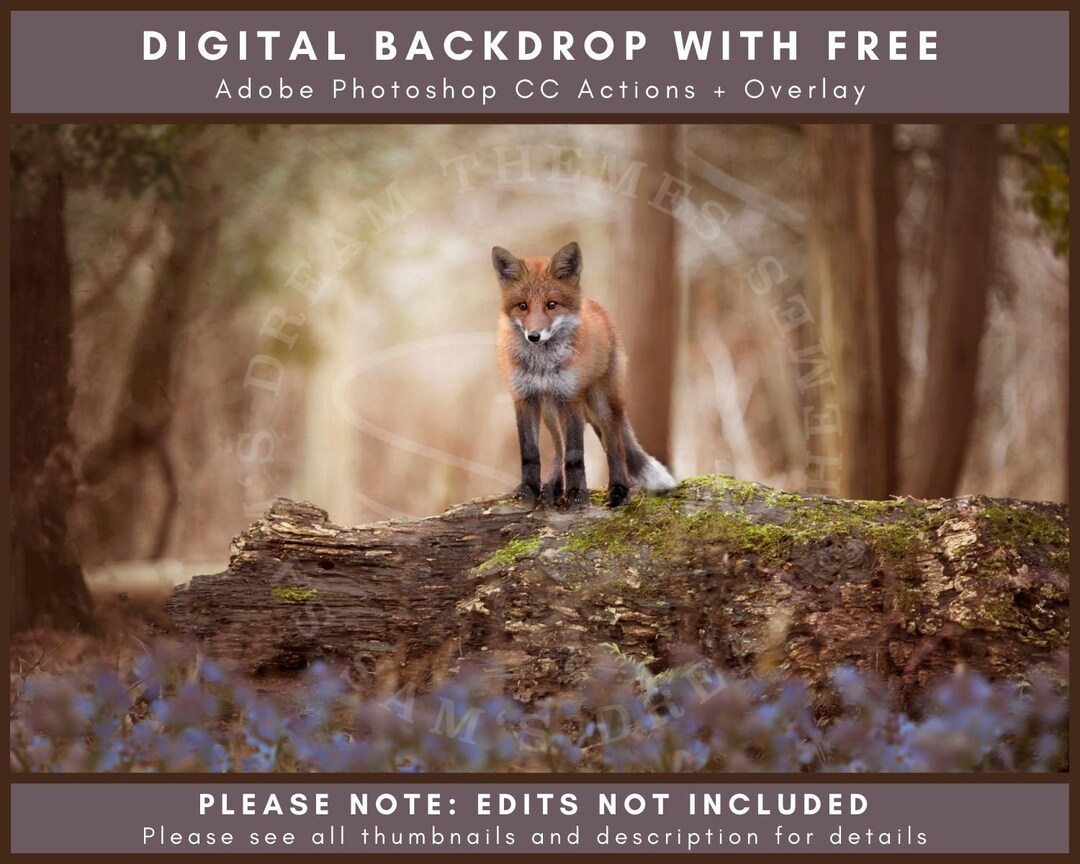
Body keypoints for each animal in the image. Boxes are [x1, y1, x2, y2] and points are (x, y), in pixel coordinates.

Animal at [492, 241, 677, 507]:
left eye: (551, 304)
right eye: (522, 306)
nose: (534, 336)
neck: (542, 364)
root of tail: (598, 308)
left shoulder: (570, 398)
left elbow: (575, 456)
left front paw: (577, 494)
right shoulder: (524, 398)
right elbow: (530, 453)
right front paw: (529, 489)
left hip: (600, 404)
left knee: (614, 445)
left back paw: (618, 490)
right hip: (551, 411)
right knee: (559, 449)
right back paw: (553, 487)